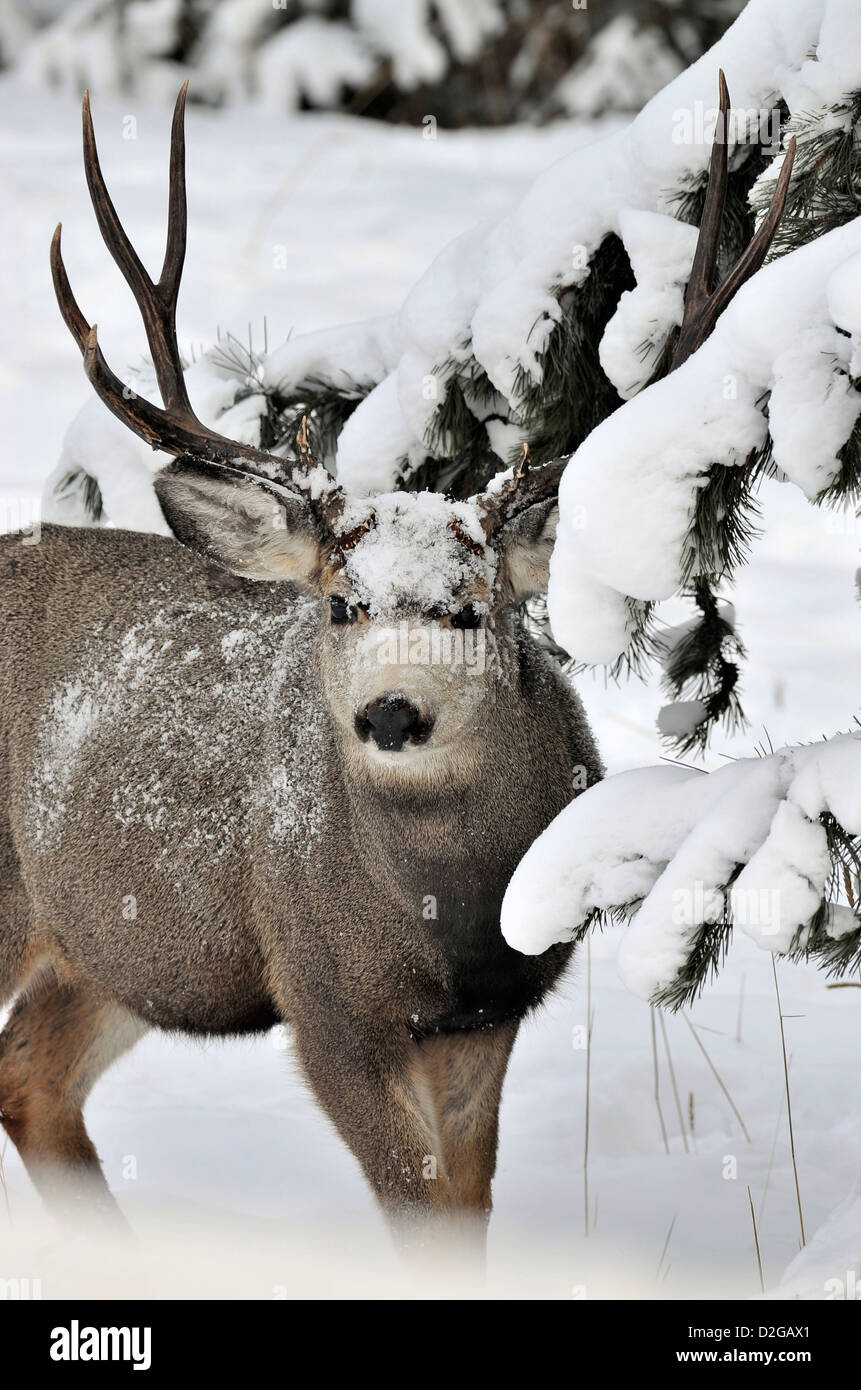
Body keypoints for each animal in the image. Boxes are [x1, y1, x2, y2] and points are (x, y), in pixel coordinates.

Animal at [0, 73, 792, 1259]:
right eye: (343, 602)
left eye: (469, 610)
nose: (388, 713)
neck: (445, 921)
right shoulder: (324, 999)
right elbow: (413, 1215)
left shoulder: (488, 1017)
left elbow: (465, 1215)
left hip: (119, 947)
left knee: (30, 1079)